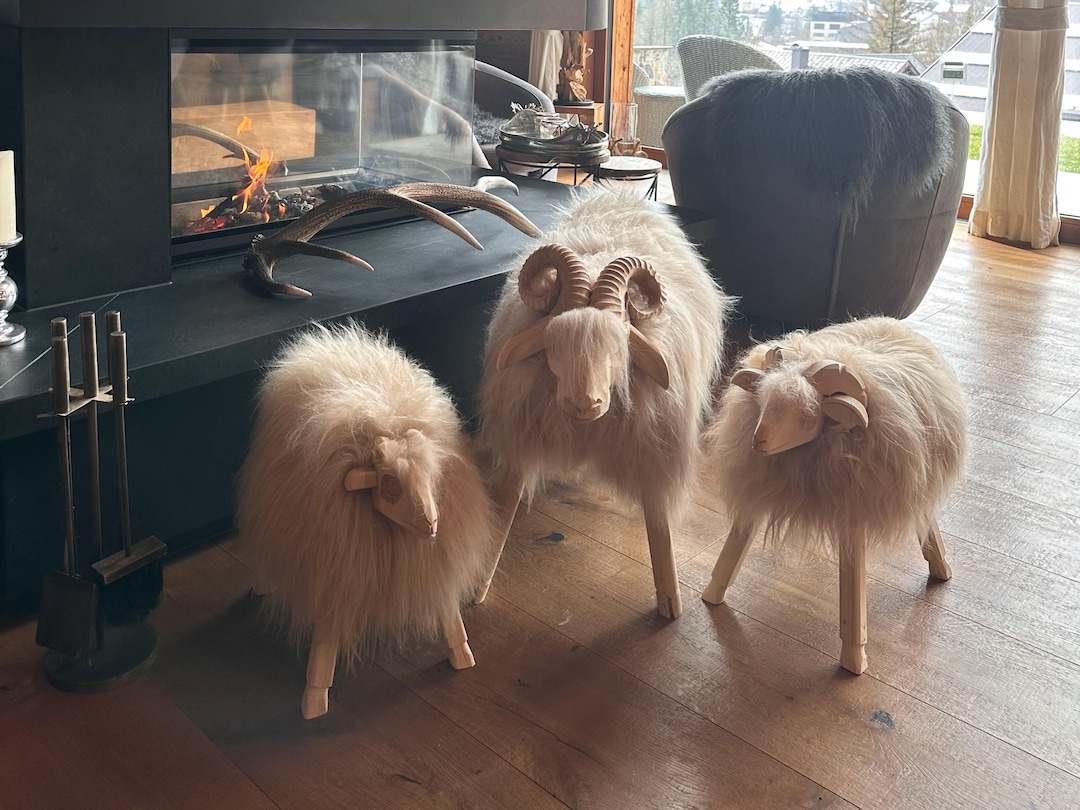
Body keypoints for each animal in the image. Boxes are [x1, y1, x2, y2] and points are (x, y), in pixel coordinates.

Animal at [236, 323, 498, 718]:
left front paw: (461, 655)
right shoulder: (338, 568)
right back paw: (264, 583)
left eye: (432, 479)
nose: (432, 524)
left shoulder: (435, 563)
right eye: (390, 485)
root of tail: (327, 343)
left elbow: (450, 616)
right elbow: (324, 651)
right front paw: (314, 700)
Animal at [477, 189, 733, 619]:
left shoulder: (652, 448)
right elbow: (505, 505)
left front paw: (670, 602)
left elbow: (659, 527)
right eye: (553, 346)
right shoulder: (522, 434)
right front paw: (476, 588)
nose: (584, 403)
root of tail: (616, 194)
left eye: (619, 348)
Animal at [702, 316, 967, 673]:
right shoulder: (759, 487)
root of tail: (891, 323)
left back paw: (941, 569)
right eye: (764, 403)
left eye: (805, 414)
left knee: (926, 521)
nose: (758, 442)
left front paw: (854, 660)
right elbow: (731, 554)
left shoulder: (854, 507)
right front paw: (712, 594)